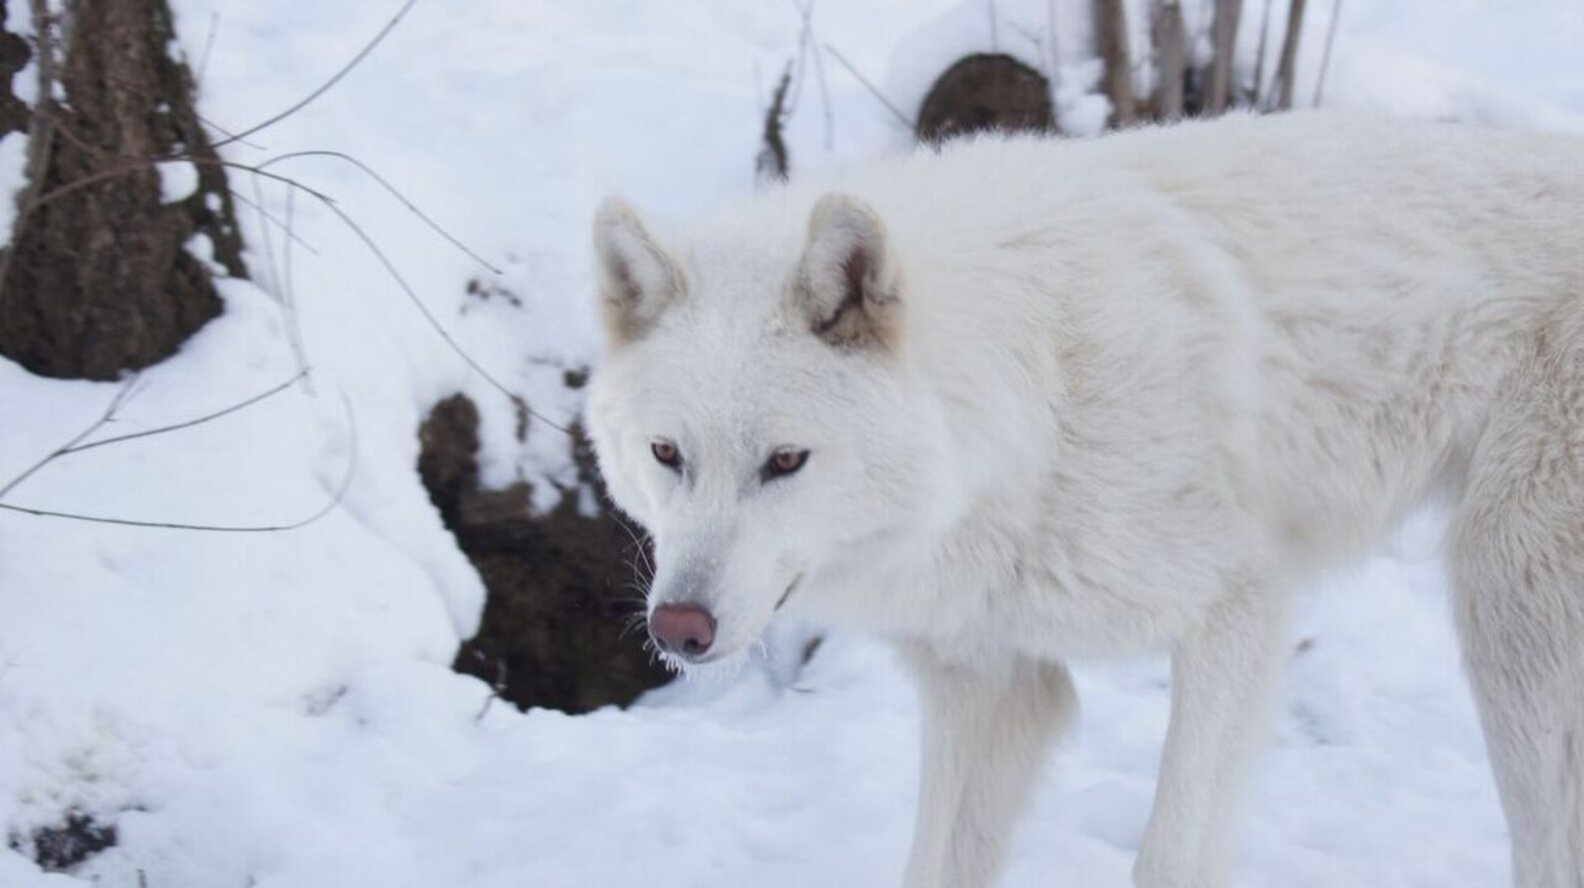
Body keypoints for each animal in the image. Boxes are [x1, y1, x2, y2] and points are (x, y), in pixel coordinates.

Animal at [584, 111, 1584, 887]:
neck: (1032, 407)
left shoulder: (1239, 612)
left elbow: (1169, 857)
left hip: (1513, 630)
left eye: (786, 461)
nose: (679, 629)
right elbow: (935, 866)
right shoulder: (991, 688)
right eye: (668, 455)